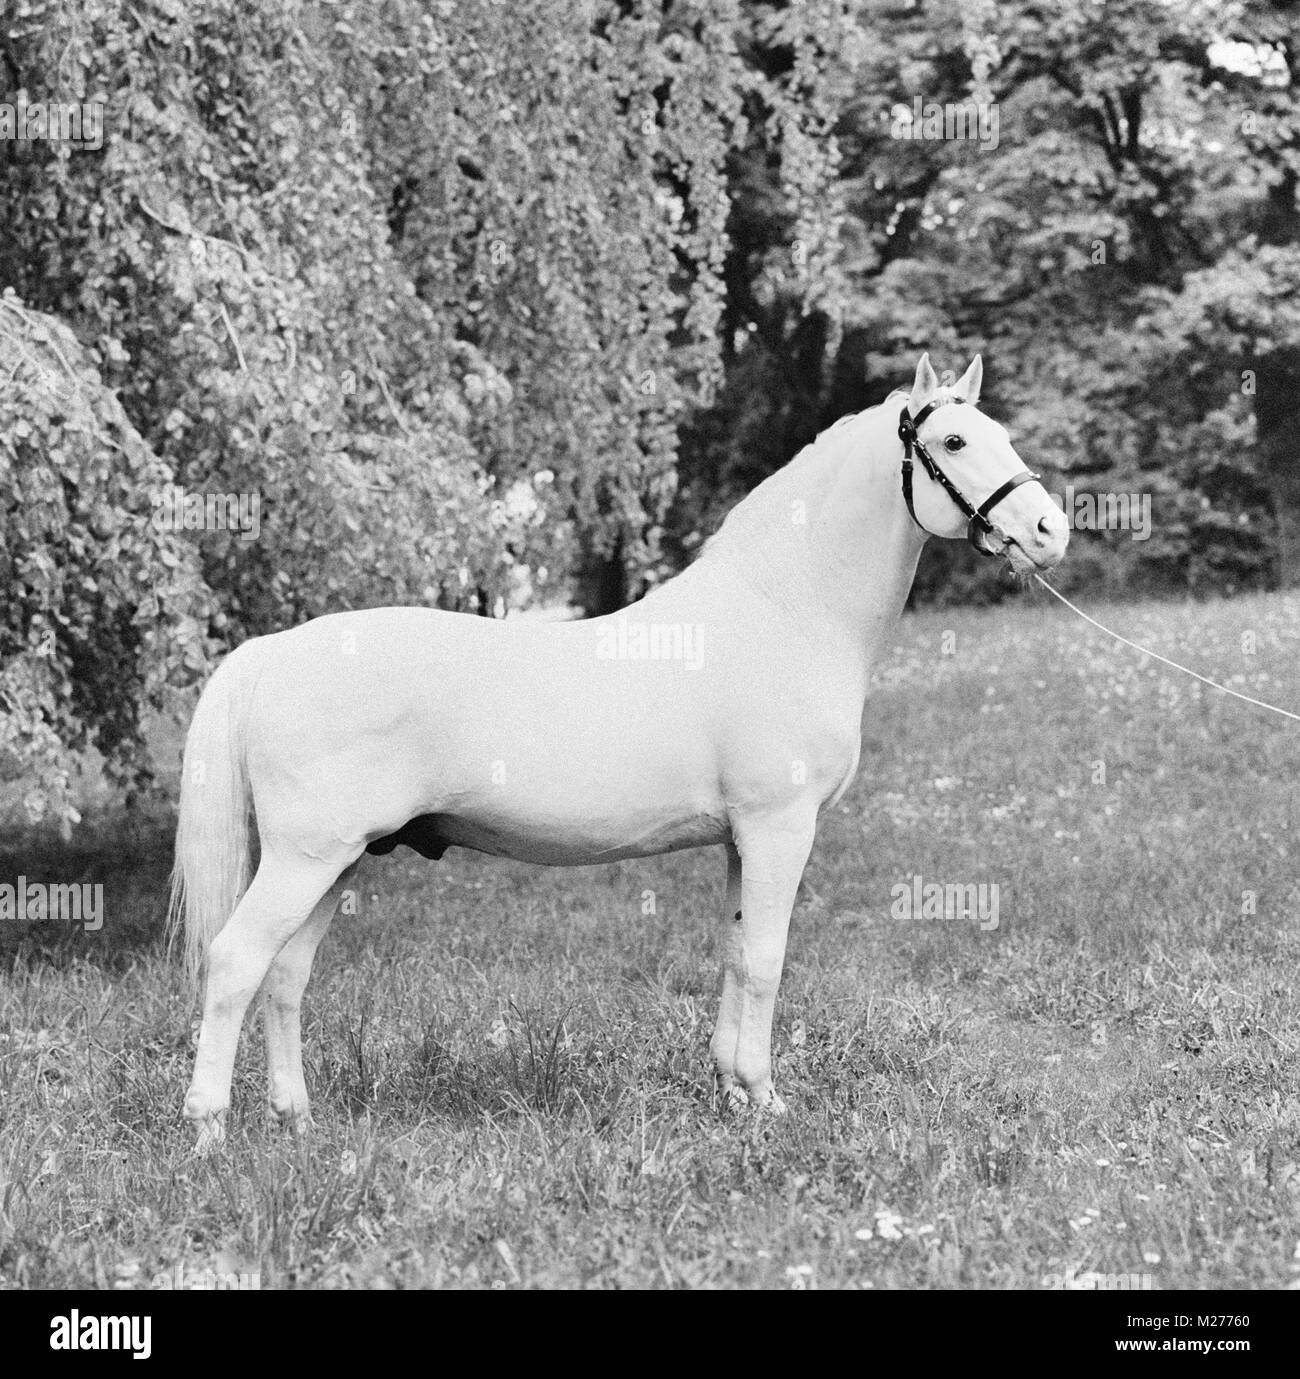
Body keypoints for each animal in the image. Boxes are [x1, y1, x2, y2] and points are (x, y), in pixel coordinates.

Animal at [168, 353, 1069, 1150]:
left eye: (1000, 431)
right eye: (954, 440)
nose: (1050, 529)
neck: (782, 611)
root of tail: (277, 651)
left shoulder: (743, 840)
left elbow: (735, 953)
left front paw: (731, 1091)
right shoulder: (780, 828)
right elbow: (766, 959)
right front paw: (766, 1100)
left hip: (339, 860)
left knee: (285, 976)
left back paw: (296, 1120)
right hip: (305, 858)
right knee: (237, 962)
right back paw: (209, 1130)